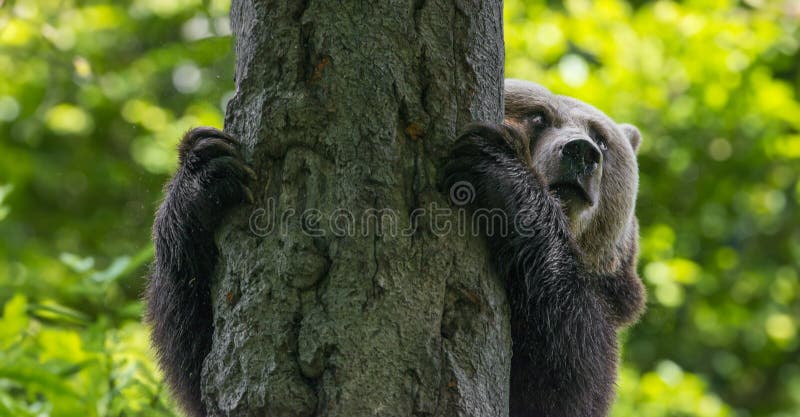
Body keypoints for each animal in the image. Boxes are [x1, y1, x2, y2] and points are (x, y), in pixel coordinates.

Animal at [145, 80, 645, 417]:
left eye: (602, 137)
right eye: (539, 116)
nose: (581, 152)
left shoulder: (598, 305)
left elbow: (566, 375)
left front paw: (498, 166)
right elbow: (198, 352)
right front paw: (206, 171)